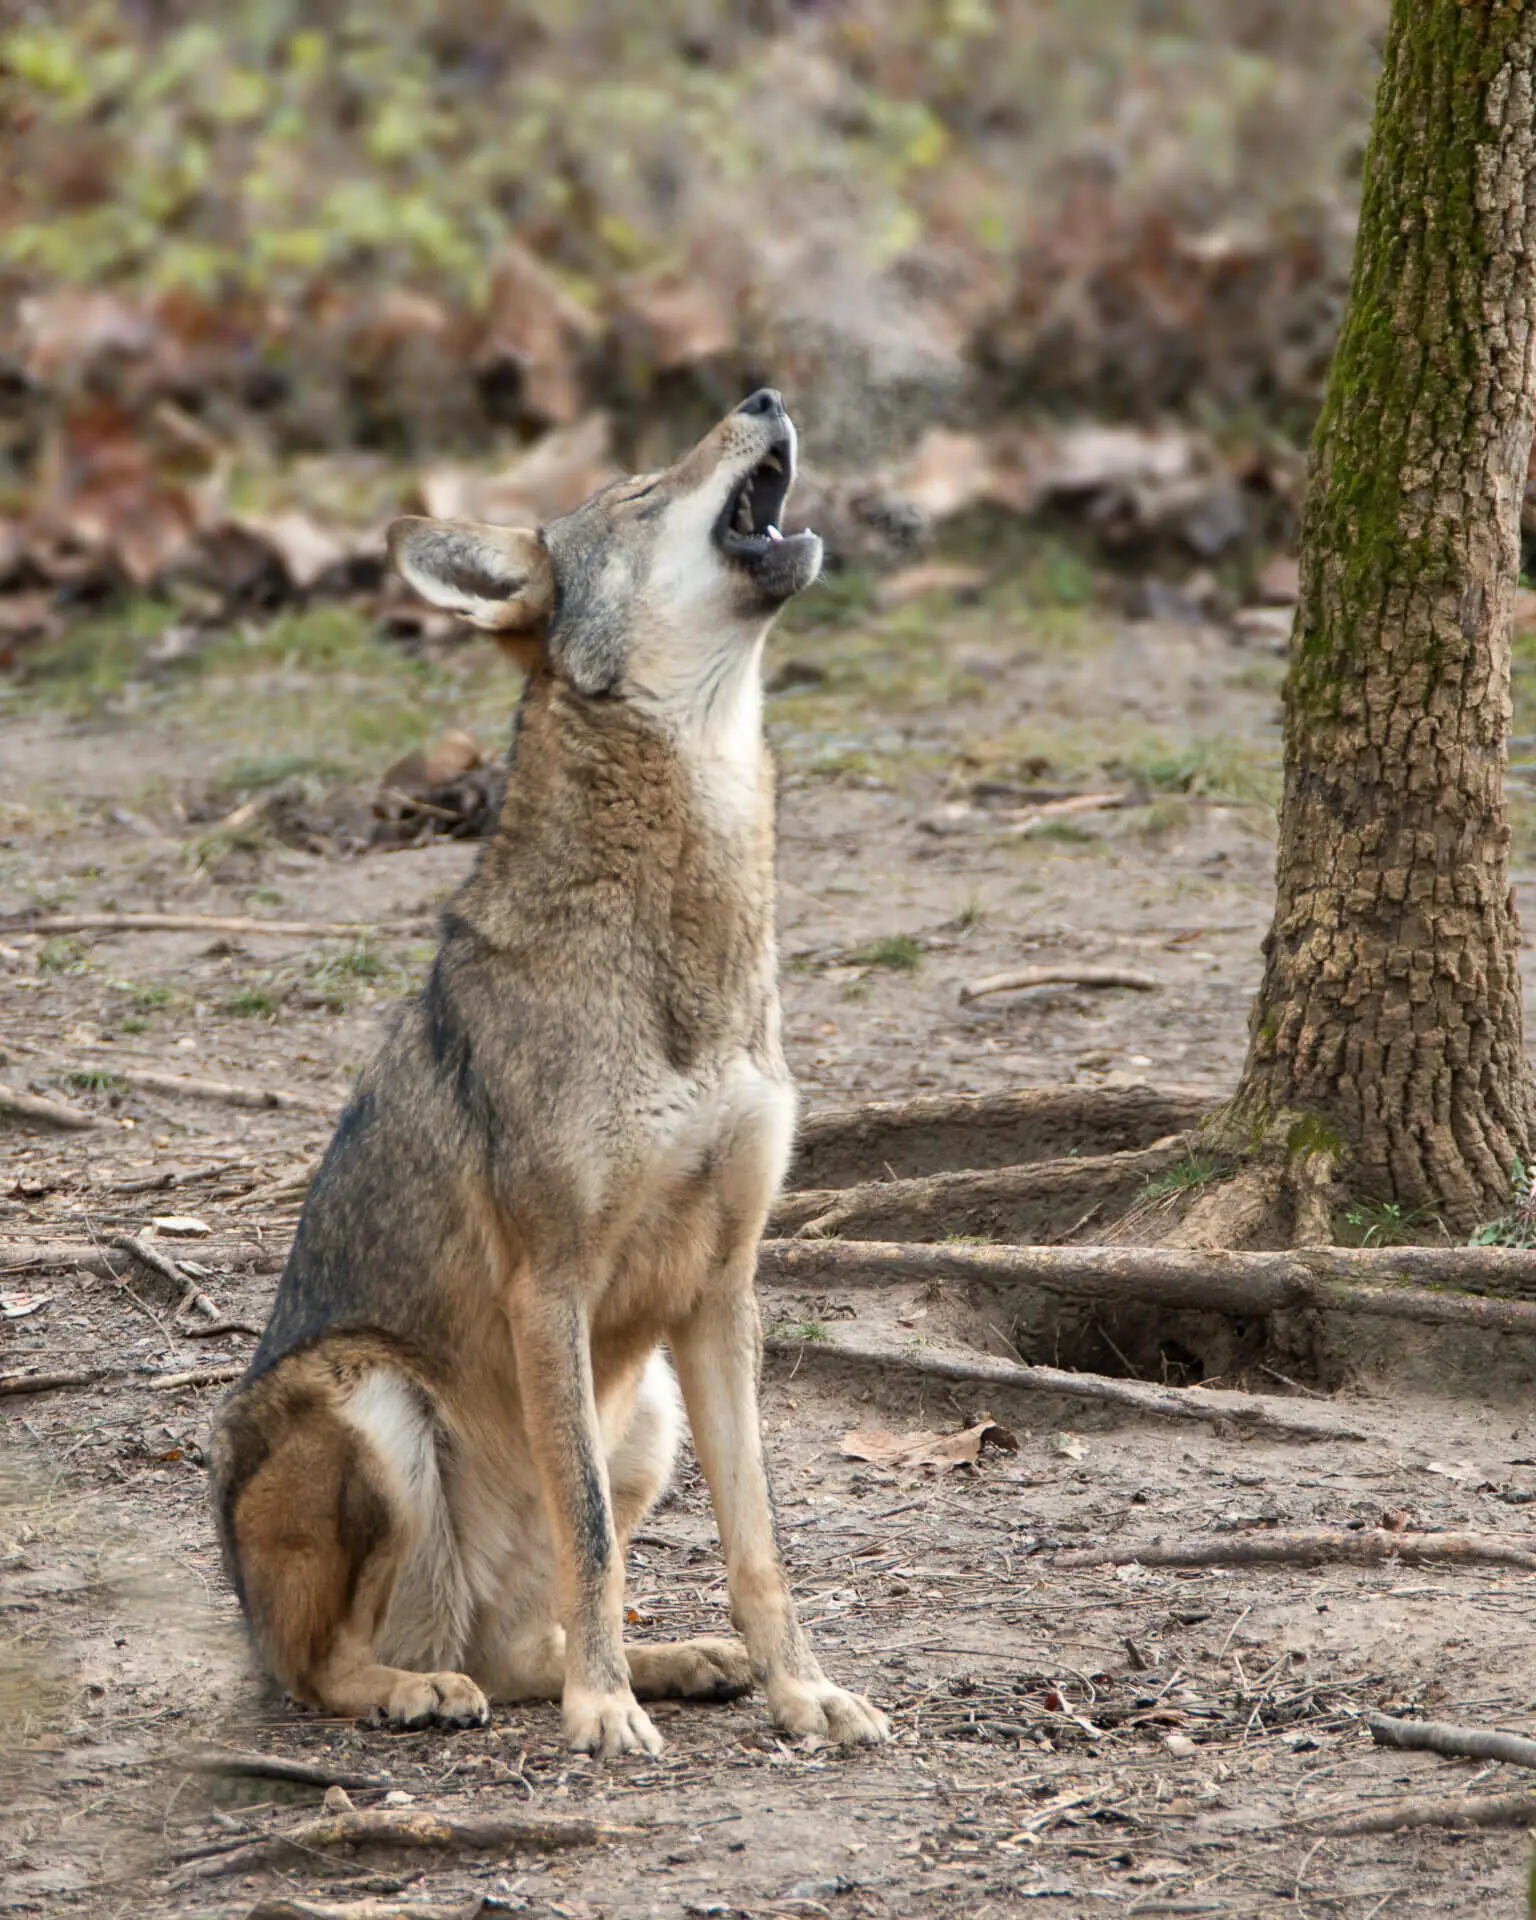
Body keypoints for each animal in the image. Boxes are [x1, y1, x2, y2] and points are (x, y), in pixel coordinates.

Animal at [209, 391, 890, 1758]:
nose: (762, 396)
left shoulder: (724, 1292)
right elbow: (588, 1530)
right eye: (638, 492)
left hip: (651, 1411)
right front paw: (605, 1714)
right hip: (369, 1396)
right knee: (324, 1671)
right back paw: (421, 1688)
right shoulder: (551, 1283)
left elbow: (757, 1544)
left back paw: (669, 1661)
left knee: (529, 1639)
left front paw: (798, 1690)